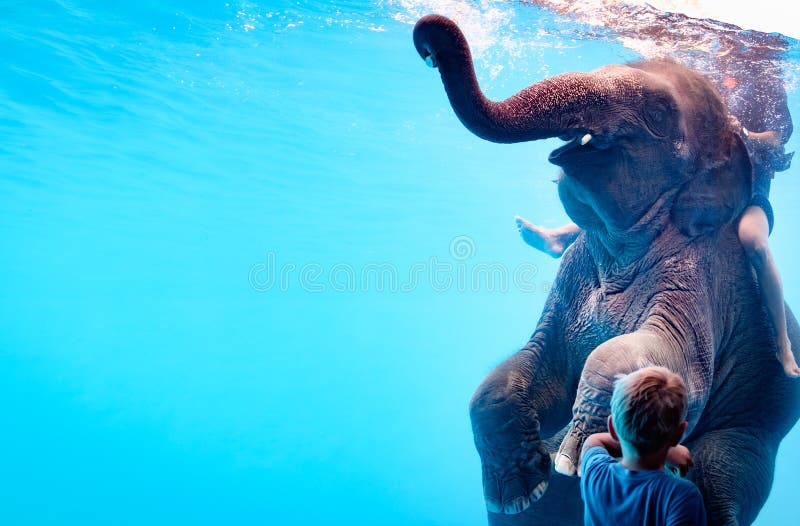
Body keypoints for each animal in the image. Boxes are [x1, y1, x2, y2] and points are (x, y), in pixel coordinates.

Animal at [413, 14, 800, 526]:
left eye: (658, 112)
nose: (427, 45)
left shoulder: (702, 276)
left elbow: (671, 362)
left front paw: (573, 457)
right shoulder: (570, 284)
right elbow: (525, 367)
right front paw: (524, 491)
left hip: (754, 425)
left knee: (718, 483)